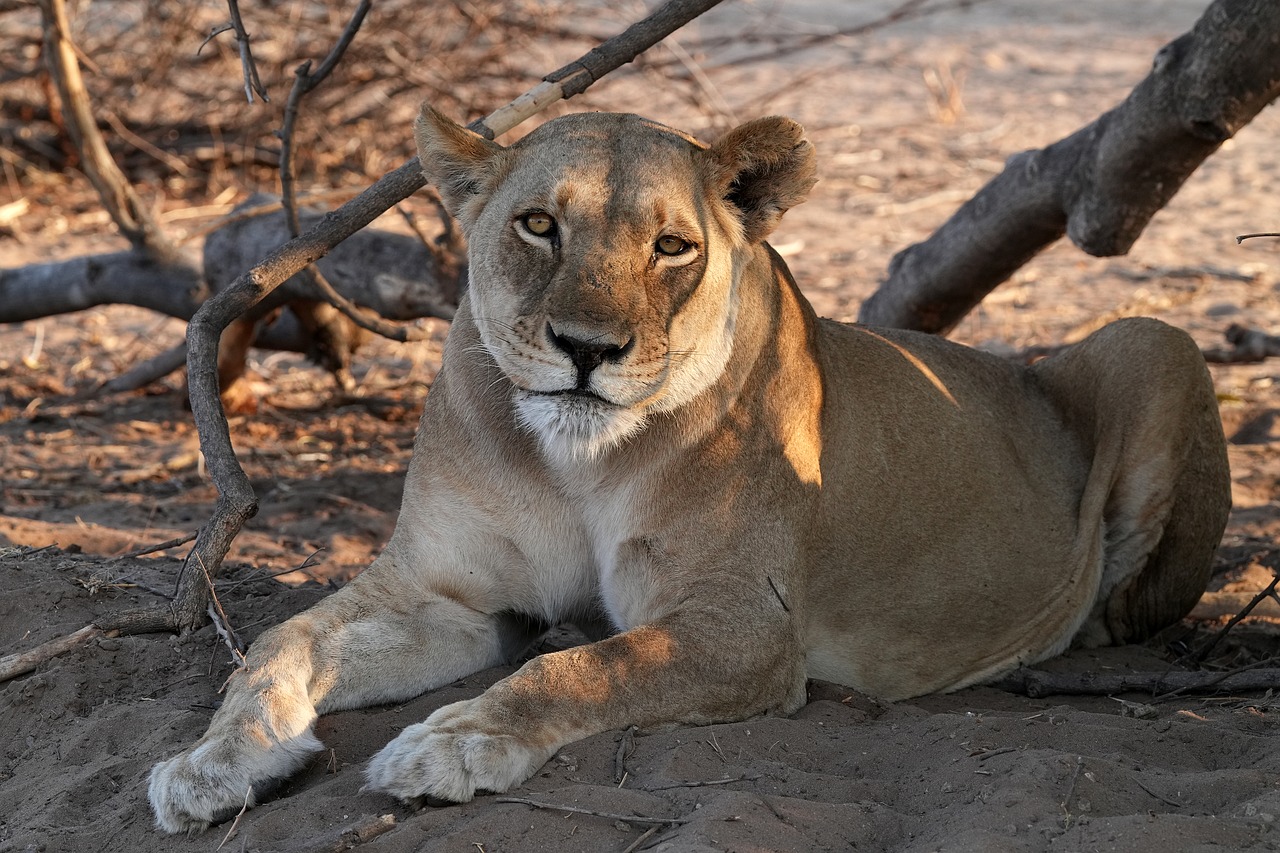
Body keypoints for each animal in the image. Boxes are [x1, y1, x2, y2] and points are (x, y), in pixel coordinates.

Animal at [148, 105, 1231, 833]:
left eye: (671, 246)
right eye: (538, 224)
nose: (587, 349)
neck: (571, 460)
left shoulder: (747, 623)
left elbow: (583, 663)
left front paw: (452, 741)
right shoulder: (452, 594)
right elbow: (277, 643)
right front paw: (212, 762)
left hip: (1154, 339)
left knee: (1117, 605)